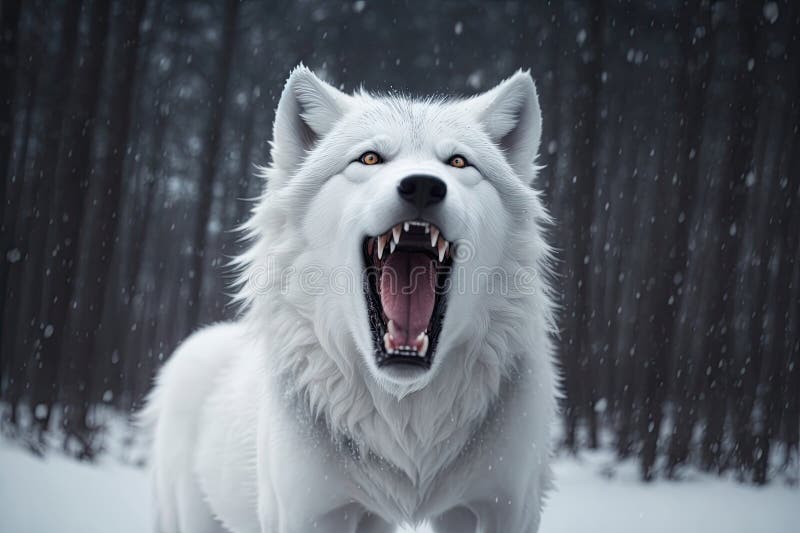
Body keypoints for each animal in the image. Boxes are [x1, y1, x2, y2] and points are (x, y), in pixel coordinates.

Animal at [142, 65, 558, 533]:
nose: (423, 186)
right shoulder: (314, 512)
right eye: (370, 159)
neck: (406, 419)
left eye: (458, 162)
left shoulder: (502, 506)